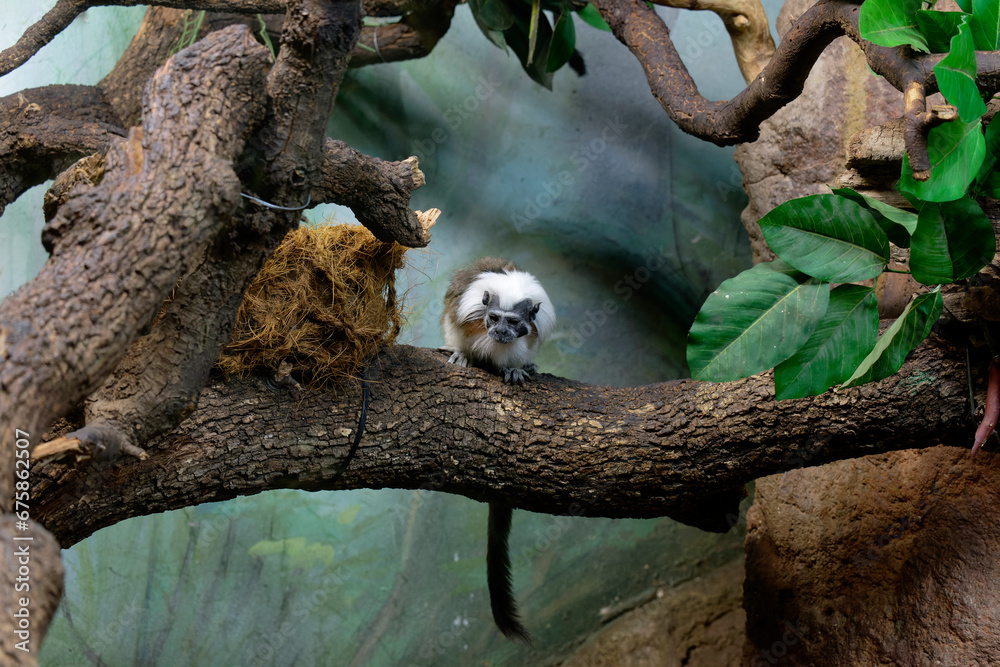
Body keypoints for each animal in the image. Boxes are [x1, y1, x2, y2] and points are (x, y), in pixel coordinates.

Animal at [440, 257, 556, 643]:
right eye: (494, 318)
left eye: (515, 323)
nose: (502, 334)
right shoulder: (464, 310)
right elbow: (457, 332)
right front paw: (463, 355)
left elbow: (523, 354)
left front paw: (518, 368)